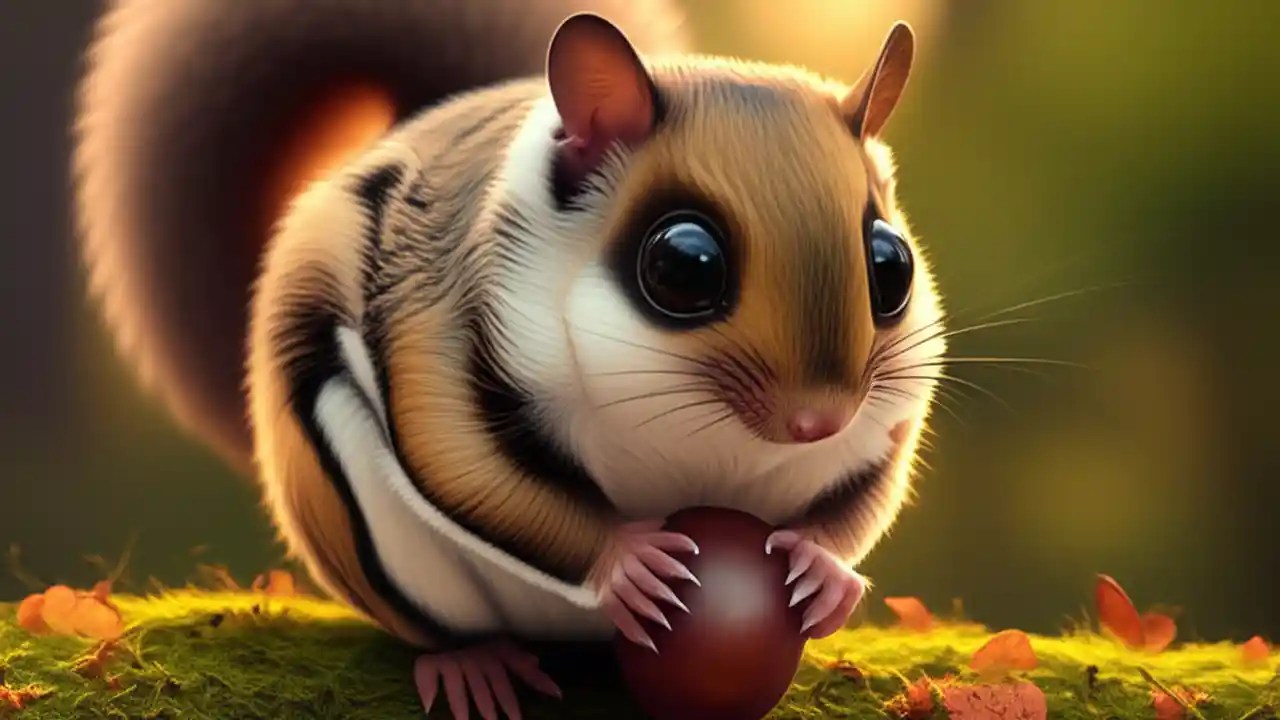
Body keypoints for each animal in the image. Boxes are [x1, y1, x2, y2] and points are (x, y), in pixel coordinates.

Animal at [73, 0, 946, 716]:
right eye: (682, 265)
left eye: (892, 265)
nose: (817, 421)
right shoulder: (435, 315)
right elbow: (468, 466)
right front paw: (625, 561)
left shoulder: (888, 419)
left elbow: (867, 492)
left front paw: (823, 570)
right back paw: (474, 664)